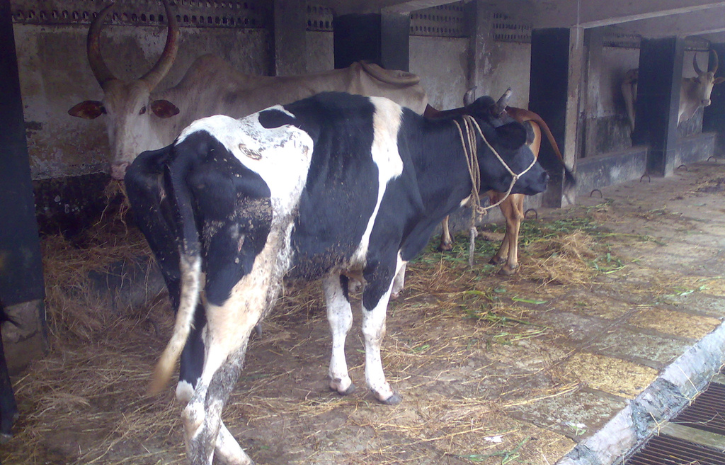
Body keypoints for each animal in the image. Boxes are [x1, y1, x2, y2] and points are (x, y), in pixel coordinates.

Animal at [125, 91, 549, 464]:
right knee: (201, 402)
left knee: (188, 386)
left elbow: (339, 319)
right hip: (236, 298)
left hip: (185, 290)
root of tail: (184, 145)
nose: (544, 175)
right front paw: (380, 388)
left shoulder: (335, 259)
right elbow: (372, 328)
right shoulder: (383, 255)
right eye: (517, 141)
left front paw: (339, 380)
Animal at [425, 89, 575, 275]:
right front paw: (446, 242)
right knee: (518, 216)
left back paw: (509, 264)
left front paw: (444, 243)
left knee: (513, 218)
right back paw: (500, 256)